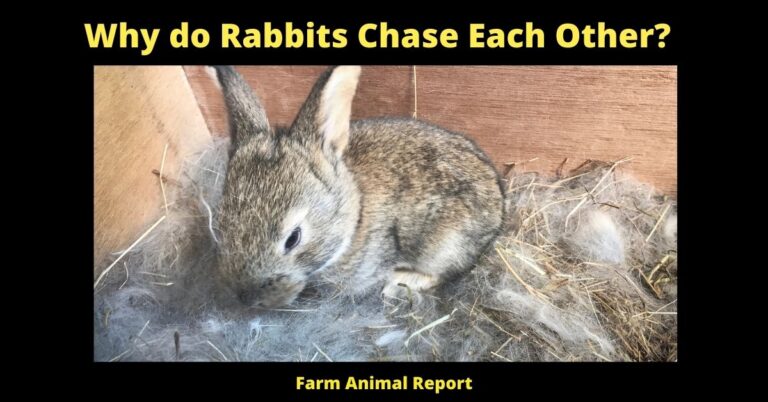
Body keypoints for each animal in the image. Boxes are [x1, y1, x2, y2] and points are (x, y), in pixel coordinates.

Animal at [213, 65, 506, 308]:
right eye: (221, 225)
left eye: (293, 238)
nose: (247, 298)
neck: (354, 218)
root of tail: (500, 202)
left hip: (444, 245)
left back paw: (400, 282)